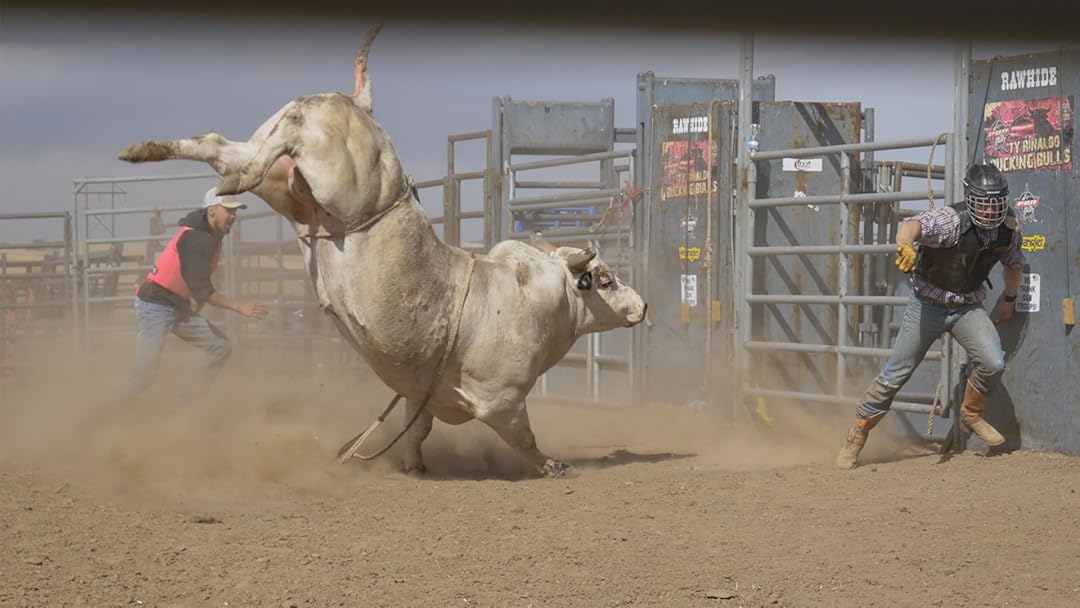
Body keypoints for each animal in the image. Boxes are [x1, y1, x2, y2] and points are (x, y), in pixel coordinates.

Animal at [116, 24, 647, 477]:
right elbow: (524, 437)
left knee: (218, 145)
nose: (643, 305)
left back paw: (147, 152)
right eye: (604, 278)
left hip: (282, 182)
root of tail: (359, 104)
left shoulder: (423, 392)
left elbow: (416, 428)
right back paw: (226, 177)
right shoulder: (503, 400)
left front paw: (413, 465)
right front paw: (554, 465)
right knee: (287, 135)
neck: (540, 298)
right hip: (335, 173)